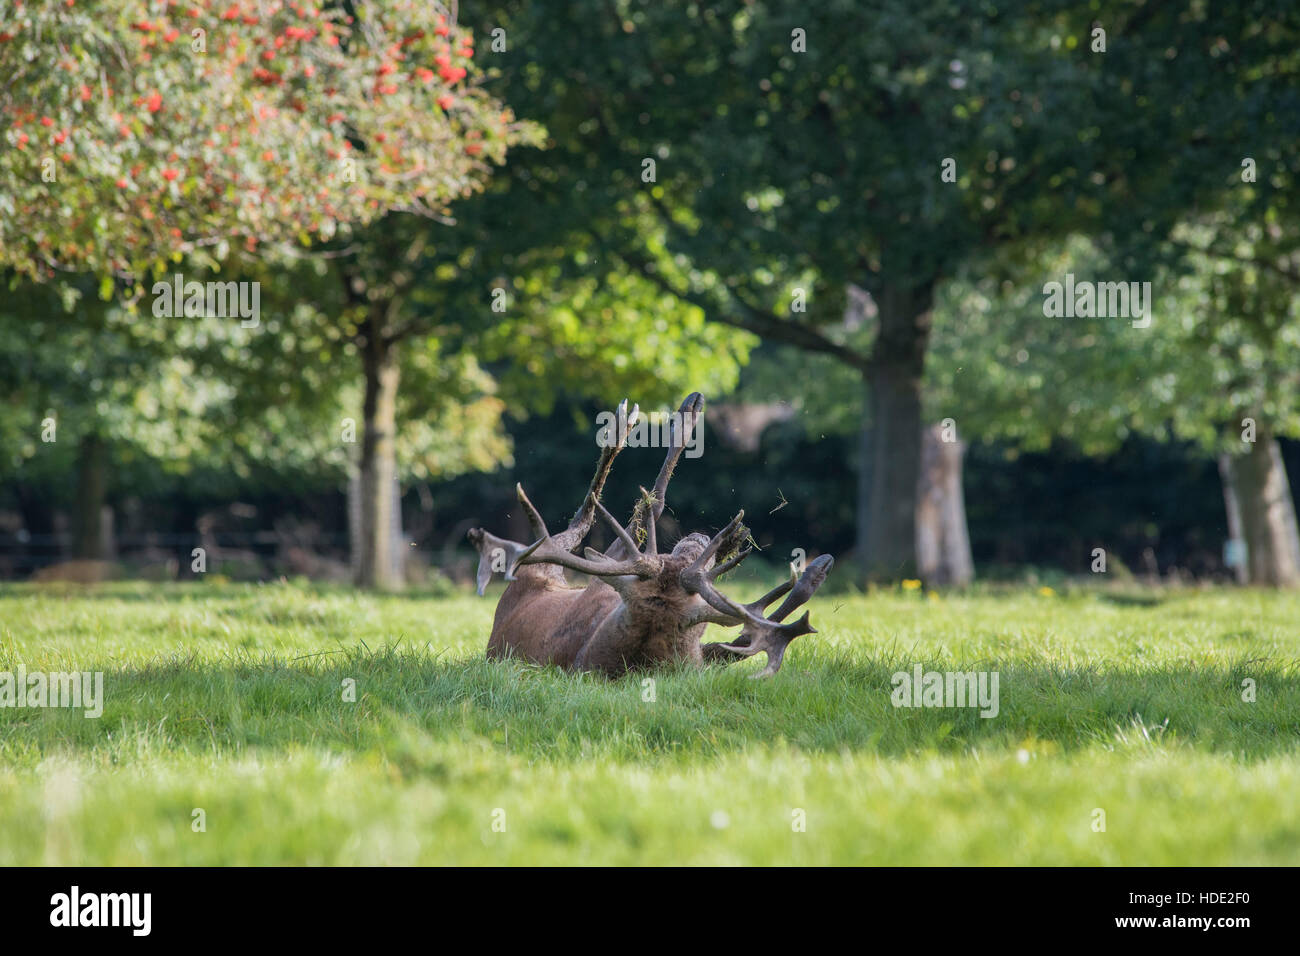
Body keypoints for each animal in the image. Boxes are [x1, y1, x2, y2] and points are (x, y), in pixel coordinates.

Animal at [467, 392, 834, 678]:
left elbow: (739, 641)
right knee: (602, 517)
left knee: (596, 520)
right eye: (670, 557)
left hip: (548, 568)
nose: (697, 539)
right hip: (547, 566)